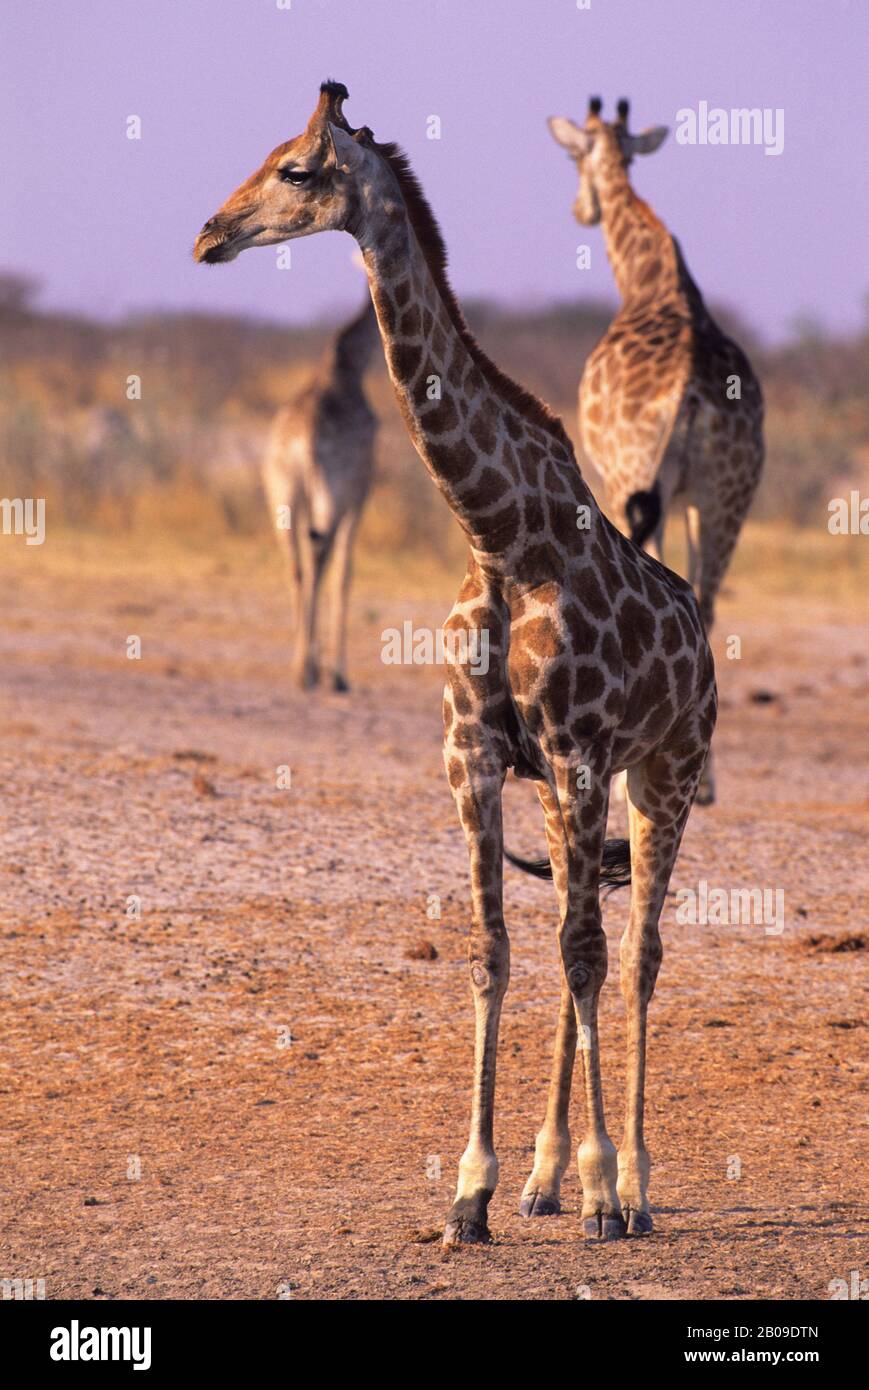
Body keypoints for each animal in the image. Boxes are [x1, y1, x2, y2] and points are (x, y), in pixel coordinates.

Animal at [262, 294, 379, 691]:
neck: (349, 366)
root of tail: (306, 438)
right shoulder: (359, 493)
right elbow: (344, 571)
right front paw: (337, 672)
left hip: (283, 493)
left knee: (297, 563)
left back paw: (302, 668)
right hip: (332, 493)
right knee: (319, 557)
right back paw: (316, 672)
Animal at [549, 98, 764, 803]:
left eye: (575, 156)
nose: (579, 210)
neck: (648, 278)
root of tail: (692, 387)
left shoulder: (617, 478)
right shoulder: (701, 495)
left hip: (638, 478)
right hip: (729, 493)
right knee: (705, 597)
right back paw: (700, 777)